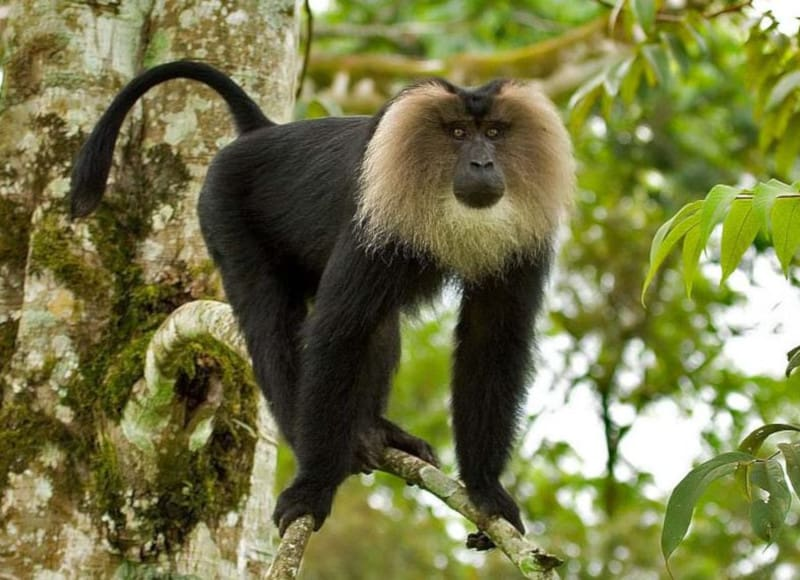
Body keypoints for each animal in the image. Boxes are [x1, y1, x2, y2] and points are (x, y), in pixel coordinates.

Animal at [69, 61, 575, 545]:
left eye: (494, 133)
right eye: (456, 133)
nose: (482, 162)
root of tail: (261, 133)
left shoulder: (522, 244)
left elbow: (492, 339)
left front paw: (485, 489)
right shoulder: (371, 220)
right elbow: (338, 331)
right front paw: (313, 487)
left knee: (380, 329)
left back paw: (374, 430)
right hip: (223, 209)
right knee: (270, 322)